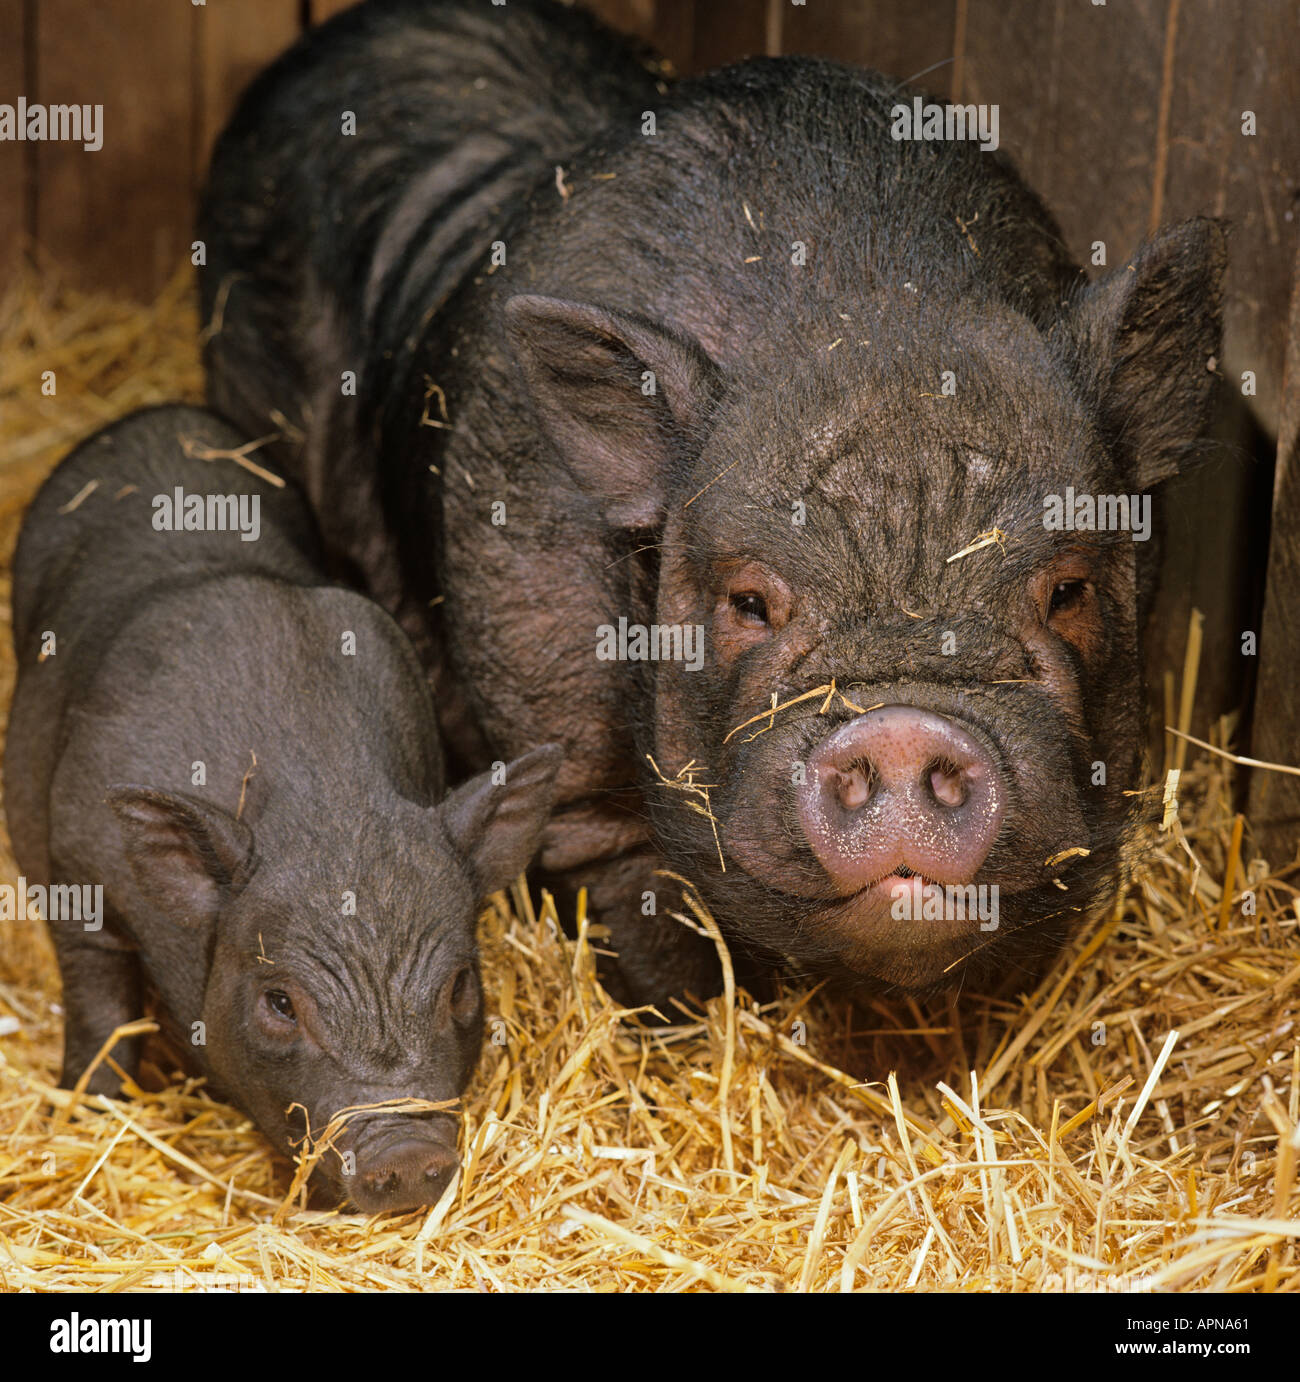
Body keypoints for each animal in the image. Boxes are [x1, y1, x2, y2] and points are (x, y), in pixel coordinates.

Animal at [4, 405, 561, 1212]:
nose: (407, 1153)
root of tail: (157, 415)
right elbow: (100, 1007)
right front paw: (87, 1108)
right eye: (279, 1003)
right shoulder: (75, 863)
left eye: (462, 985)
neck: (327, 804)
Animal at [199, 0, 1226, 1009]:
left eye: (1068, 593)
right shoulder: (552, 717)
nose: (901, 731)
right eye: (748, 602)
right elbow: (641, 906)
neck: (864, 299)